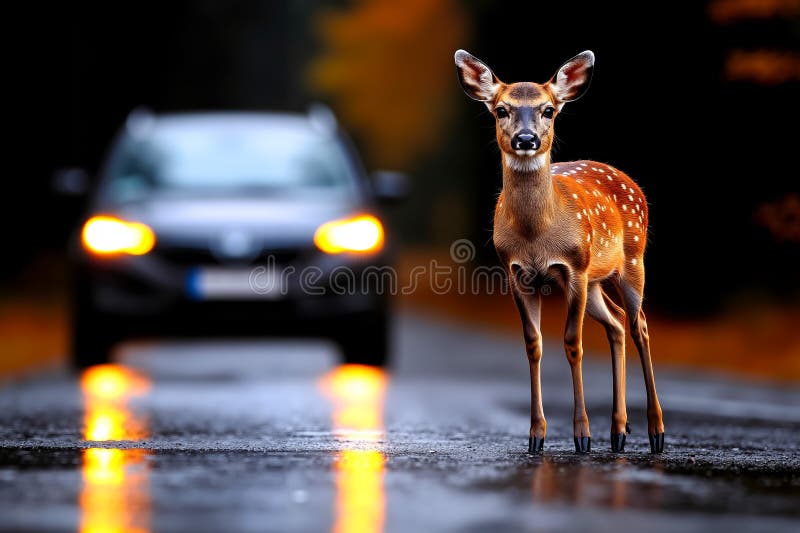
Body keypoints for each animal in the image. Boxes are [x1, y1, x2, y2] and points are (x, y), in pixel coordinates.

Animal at [454, 49, 665, 454]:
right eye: (501, 110)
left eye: (548, 110)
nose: (526, 138)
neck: (537, 235)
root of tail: (633, 184)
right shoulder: (517, 274)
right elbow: (533, 344)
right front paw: (536, 436)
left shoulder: (574, 268)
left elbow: (572, 343)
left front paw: (581, 436)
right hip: (597, 281)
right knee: (616, 322)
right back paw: (618, 432)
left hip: (631, 261)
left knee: (640, 325)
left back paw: (656, 433)